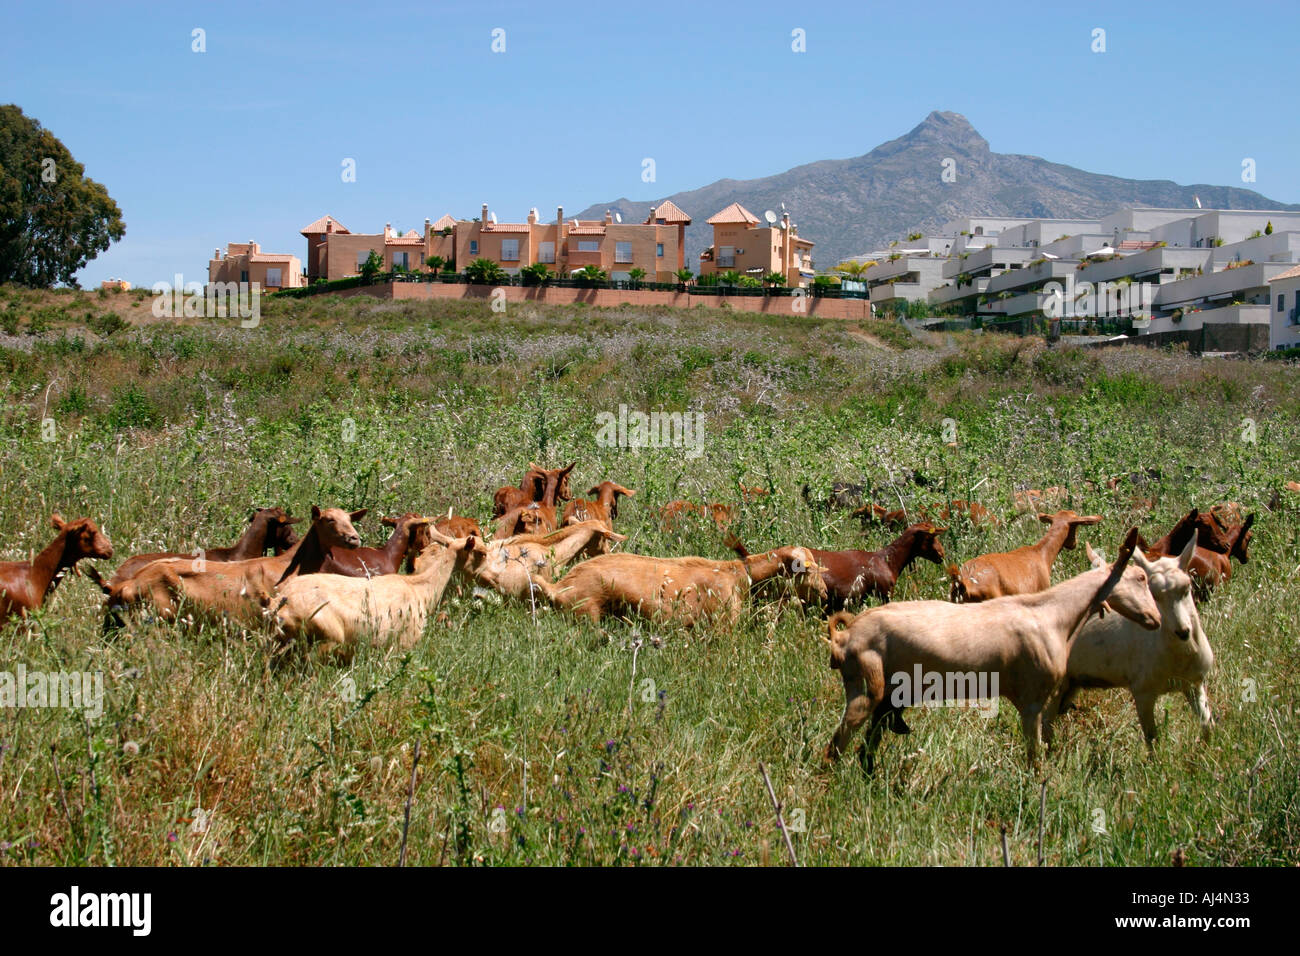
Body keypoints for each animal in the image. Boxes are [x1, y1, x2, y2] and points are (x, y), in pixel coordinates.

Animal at [824, 528, 1160, 771]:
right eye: (1141, 577)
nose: (1155, 618)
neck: (1054, 615)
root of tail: (844, 636)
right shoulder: (1032, 699)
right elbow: (1035, 759)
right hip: (865, 686)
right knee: (836, 744)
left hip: (888, 696)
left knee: (866, 747)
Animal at [1044, 537, 1212, 749]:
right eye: (1153, 593)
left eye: (1187, 587)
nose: (1183, 631)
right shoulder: (1143, 692)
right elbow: (1152, 738)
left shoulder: (1195, 684)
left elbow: (1207, 726)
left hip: (1071, 683)